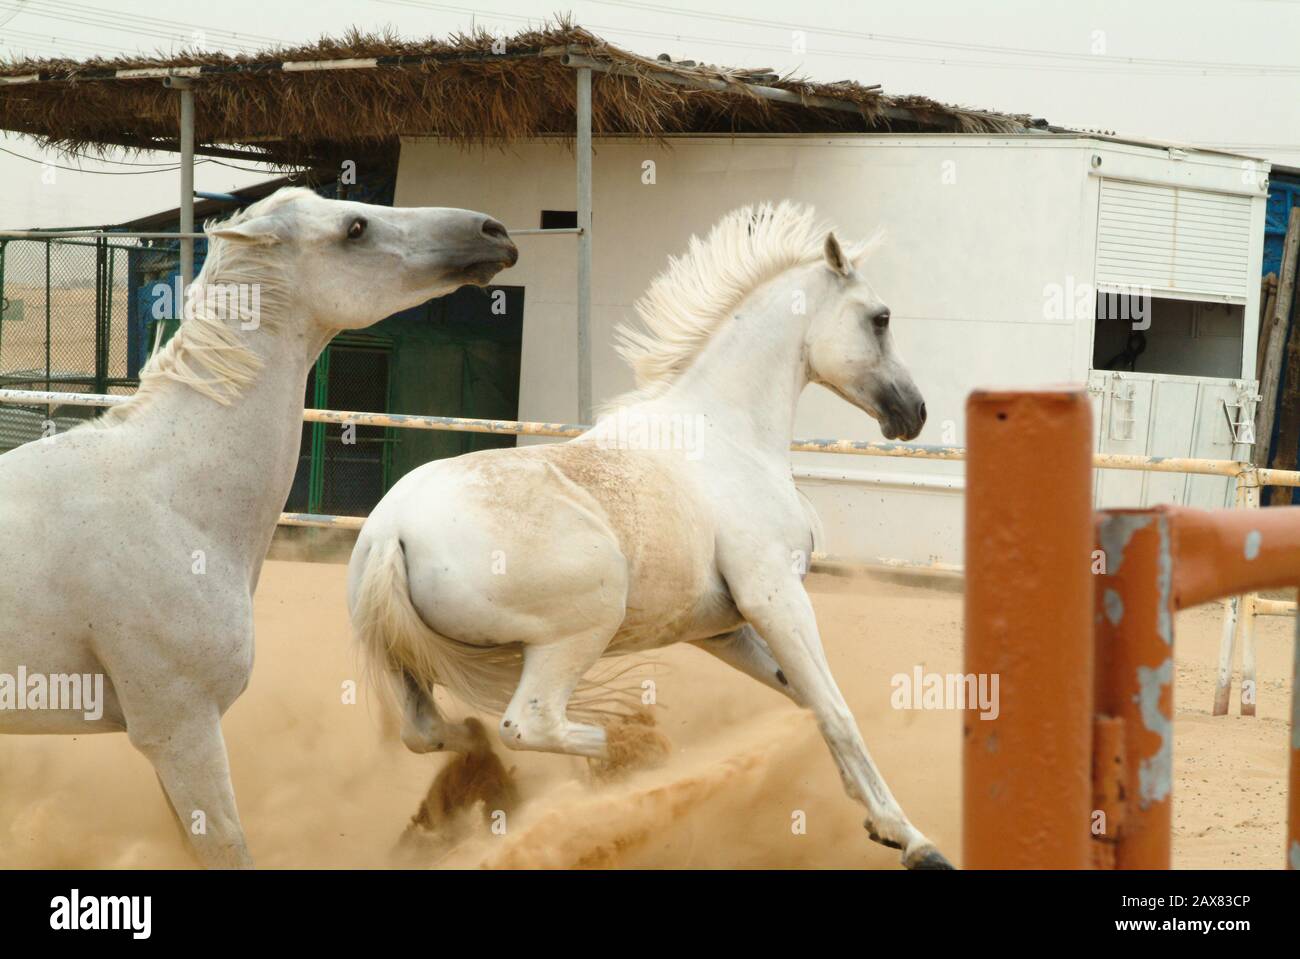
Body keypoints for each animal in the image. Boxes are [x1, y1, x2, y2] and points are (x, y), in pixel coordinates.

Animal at [349, 202, 951, 869]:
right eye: (881, 318)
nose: (914, 412)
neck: (727, 433)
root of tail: (391, 533)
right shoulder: (776, 597)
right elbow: (836, 710)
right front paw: (917, 842)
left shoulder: (722, 629)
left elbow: (809, 702)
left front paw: (883, 826)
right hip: (580, 629)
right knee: (531, 725)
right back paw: (623, 761)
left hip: (409, 666)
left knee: (431, 733)